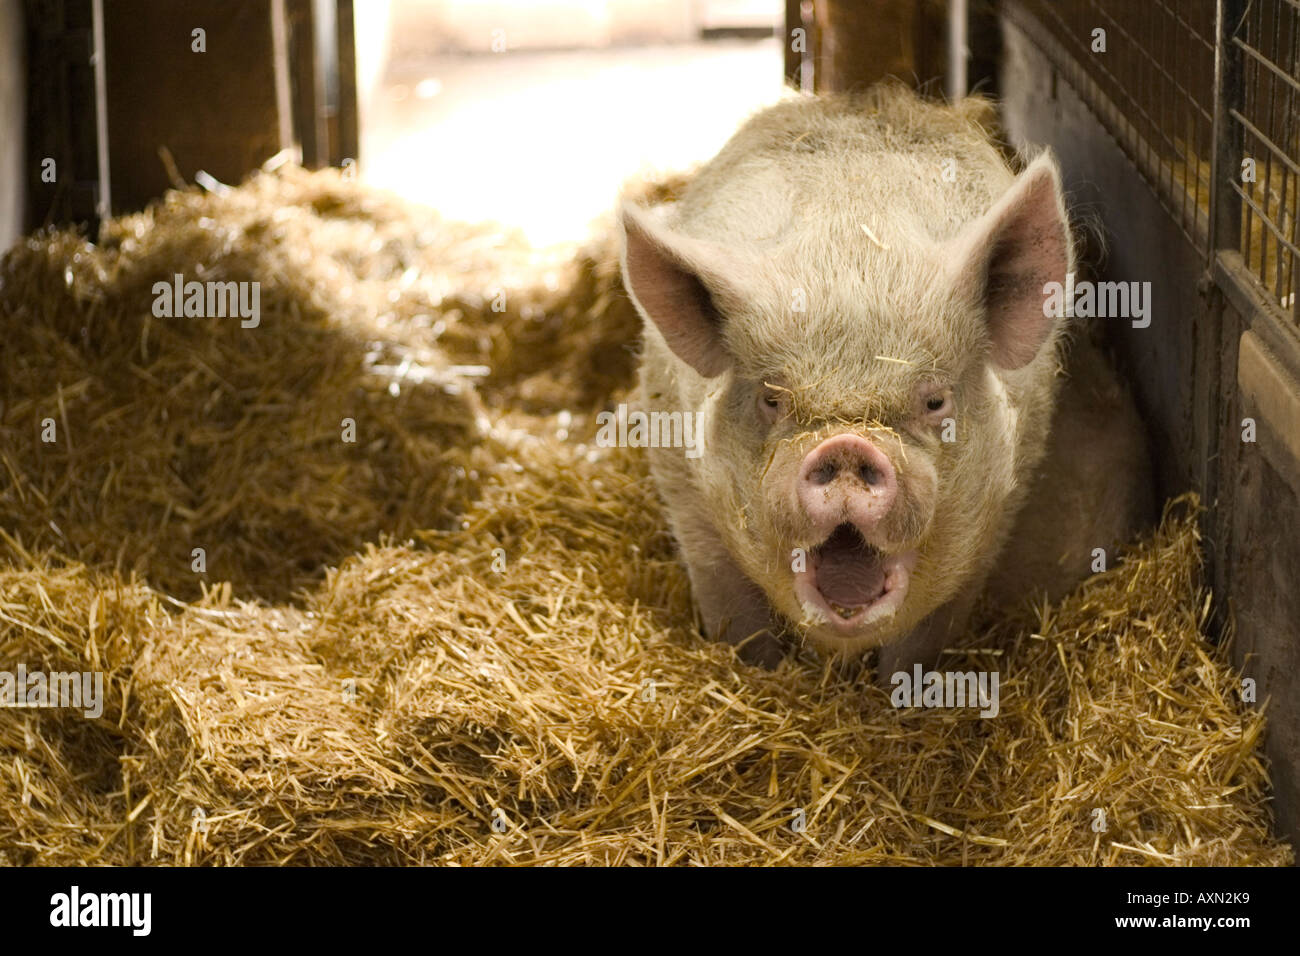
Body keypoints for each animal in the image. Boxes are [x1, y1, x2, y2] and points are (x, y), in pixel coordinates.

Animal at [618, 84, 1152, 676]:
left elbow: (926, 631)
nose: (848, 445)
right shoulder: (683, 490)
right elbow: (732, 610)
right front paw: (759, 673)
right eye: (771, 399)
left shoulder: (1005, 496)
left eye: (935, 400)